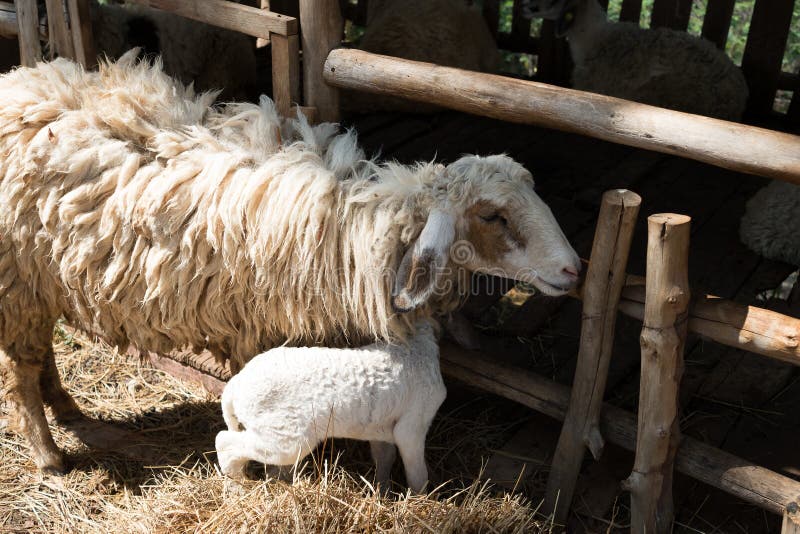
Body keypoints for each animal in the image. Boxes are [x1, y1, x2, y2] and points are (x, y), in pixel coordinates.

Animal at [0, 51, 580, 473]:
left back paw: (66, 407)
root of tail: (18, 82)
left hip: (41, 284)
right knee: (21, 374)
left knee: (41, 351)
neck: (352, 232)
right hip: (16, 282)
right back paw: (49, 455)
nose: (574, 269)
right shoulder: (257, 331)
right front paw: (284, 472)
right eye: (493, 216)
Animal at [216, 320, 444, 492]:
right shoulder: (414, 421)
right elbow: (417, 473)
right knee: (224, 442)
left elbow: (385, 457)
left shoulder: (381, 425)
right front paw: (421, 499)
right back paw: (238, 487)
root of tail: (234, 387)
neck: (418, 346)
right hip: (285, 436)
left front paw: (382, 491)